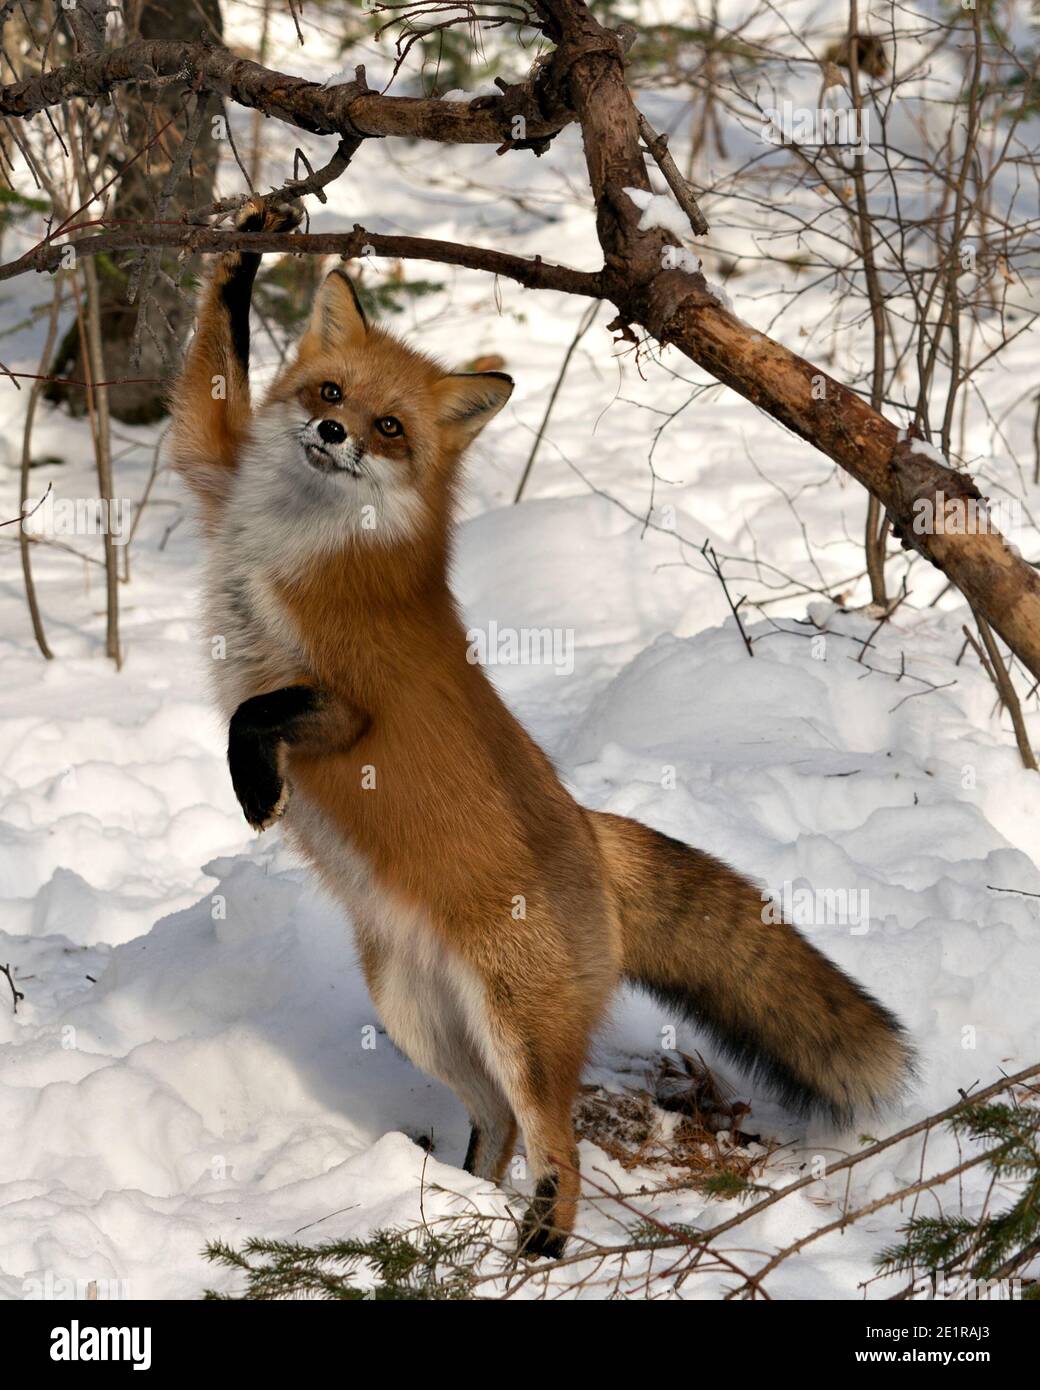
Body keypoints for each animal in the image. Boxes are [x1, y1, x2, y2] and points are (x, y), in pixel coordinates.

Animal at [170, 195, 913, 1259]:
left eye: (388, 427)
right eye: (328, 389)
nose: (330, 431)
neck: (297, 542)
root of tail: (592, 836)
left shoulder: (353, 699)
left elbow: (254, 709)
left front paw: (254, 782)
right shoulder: (209, 473)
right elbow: (209, 375)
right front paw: (253, 235)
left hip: (517, 1031)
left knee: (556, 1143)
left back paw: (538, 1247)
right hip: (417, 1013)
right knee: (501, 1125)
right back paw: (463, 1208)